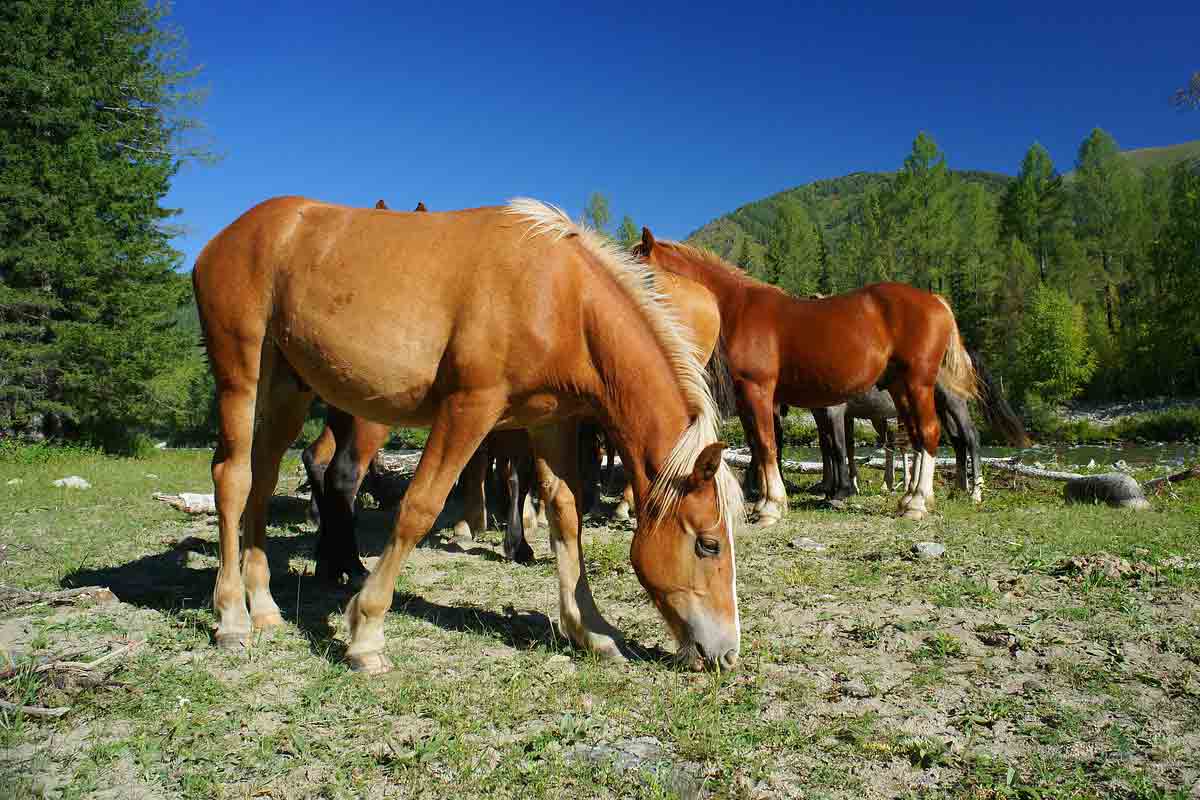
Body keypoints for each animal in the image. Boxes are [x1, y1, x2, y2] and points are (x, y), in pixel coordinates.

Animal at [193, 196, 743, 674]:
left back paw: (264, 606)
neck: (558, 294)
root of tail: (229, 235)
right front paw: (366, 633)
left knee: (262, 480)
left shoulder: (549, 423)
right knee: (232, 479)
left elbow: (567, 515)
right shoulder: (469, 409)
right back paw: (232, 618)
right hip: (241, 376)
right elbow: (420, 508)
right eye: (709, 545)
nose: (727, 652)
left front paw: (590, 629)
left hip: (287, 387)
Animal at [633, 228, 977, 523]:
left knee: (931, 433)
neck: (737, 308)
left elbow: (767, 443)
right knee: (919, 436)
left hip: (919, 384)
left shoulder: (759, 390)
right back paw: (909, 499)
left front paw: (772, 507)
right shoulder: (748, 397)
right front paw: (764, 500)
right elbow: (757, 445)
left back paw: (919, 502)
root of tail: (936, 301)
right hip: (900, 387)